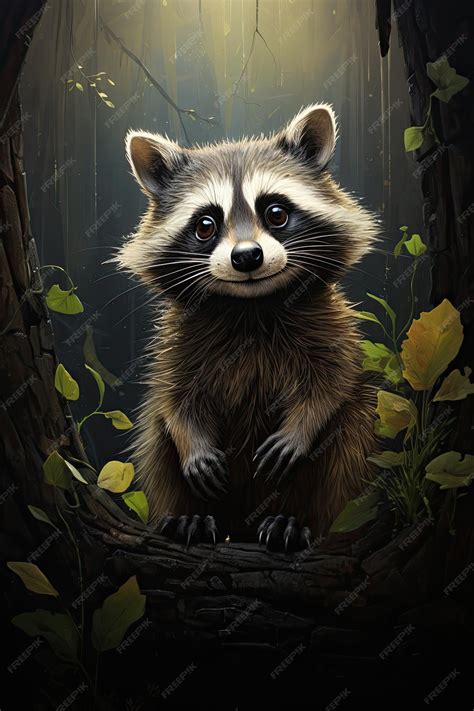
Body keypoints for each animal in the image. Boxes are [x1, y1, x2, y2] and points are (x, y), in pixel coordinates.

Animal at [118, 104, 378, 550]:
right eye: (205, 224)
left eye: (276, 213)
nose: (246, 257)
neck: (251, 307)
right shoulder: (177, 339)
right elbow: (173, 398)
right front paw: (192, 443)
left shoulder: (330, 323)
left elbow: (334, 383)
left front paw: (301, 428)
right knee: (157, 441)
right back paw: (190, 516)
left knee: (350, 438)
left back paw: (295, 520)